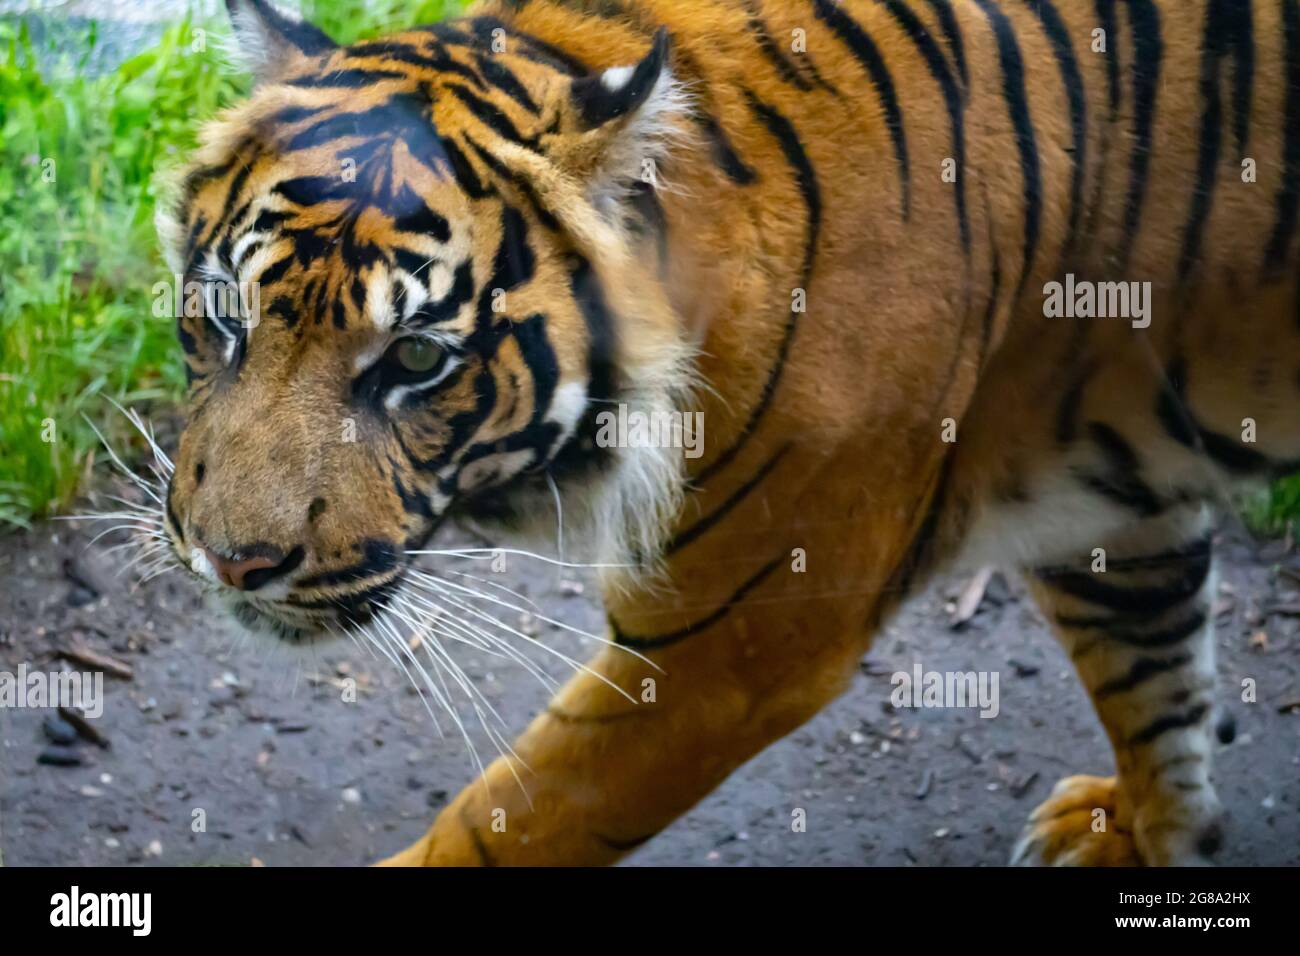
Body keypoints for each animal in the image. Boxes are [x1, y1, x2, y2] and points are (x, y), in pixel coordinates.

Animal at [151, 0, 1300, 867]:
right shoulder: (1103, 495)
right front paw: (1157, 834)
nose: (230, 559)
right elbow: (1152, 668)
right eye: (224, 313)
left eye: (418, 360)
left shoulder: (735, 643)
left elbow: (508, 819)